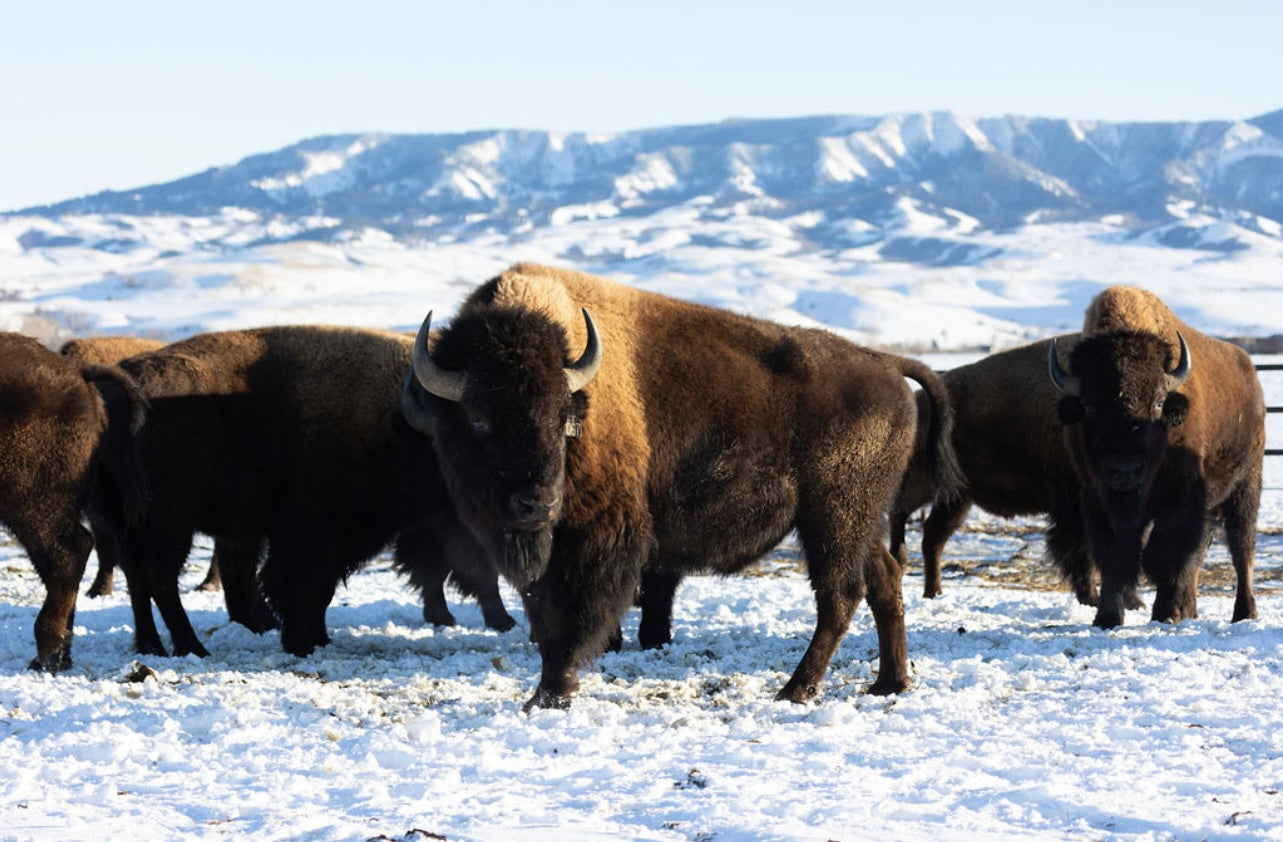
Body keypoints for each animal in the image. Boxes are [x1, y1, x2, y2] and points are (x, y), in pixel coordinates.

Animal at [87, 325, 514, 659]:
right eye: (471, 428)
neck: (394, 423)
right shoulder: (312, 536)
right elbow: (297, 583)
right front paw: (300, 643)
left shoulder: (340, 542)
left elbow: (321, 590)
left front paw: (318, 638)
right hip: (169, 523)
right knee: (161, 578)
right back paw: (192, 646)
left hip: (129, 523)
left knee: (139, 579)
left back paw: (152, 646)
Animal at [402, 263, 963, 709]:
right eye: (478, 418)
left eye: (564, 416)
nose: (537, 504)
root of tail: (887, 365)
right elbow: (545, 613)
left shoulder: (599, 541)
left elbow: (572, 618)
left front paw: (549, 696)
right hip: (860, 522)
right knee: (884, 580)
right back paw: (889, 684)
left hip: (833, 519)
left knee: (840, 596)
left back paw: (795, 691)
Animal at [1048, 285, 1263, 628]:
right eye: (1090, 407)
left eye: (1159, 402)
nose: (1125, 471)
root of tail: (1248, 371)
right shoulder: (1097, 498)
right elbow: (1114, 557)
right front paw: (1107, 618)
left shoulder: (1181, 497)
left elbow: (1164, 553)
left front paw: (1166, 613)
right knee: (1203, 551)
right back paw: (1191, 609)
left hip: (1246, 485)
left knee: (1242, 547)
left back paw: (1243, 613)